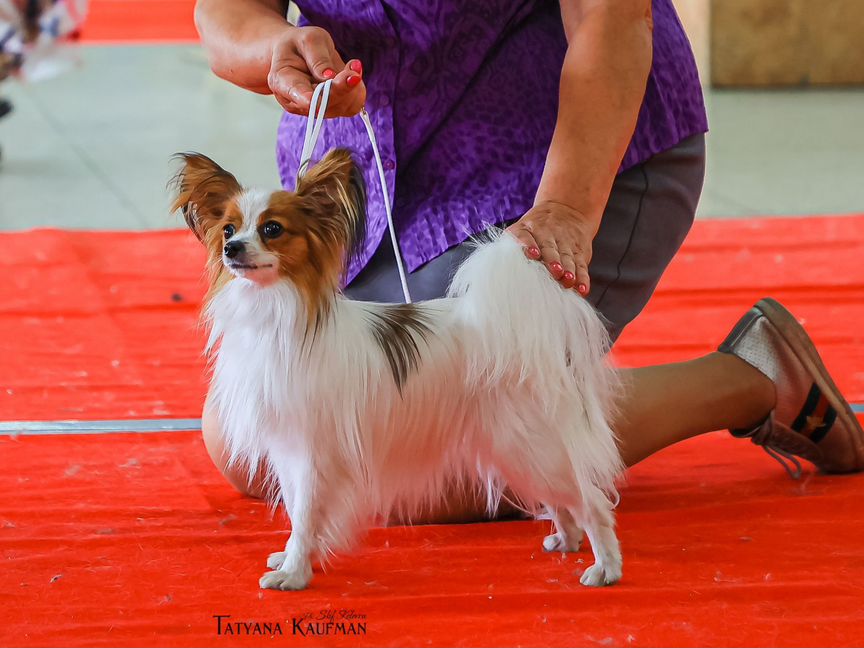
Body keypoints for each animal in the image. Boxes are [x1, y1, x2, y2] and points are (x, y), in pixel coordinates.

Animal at [172, 148, 624, 592]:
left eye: (272, 229)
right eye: (228, 230)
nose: (232, 249)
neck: (273, 312)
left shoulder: (317, 452)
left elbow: (304, 516)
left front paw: (294, 573)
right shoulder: (288, 447)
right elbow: (299, 510)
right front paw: (291, 559)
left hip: (530, 445)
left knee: (592, 502)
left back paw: (605, 568)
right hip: (518, 453)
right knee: (564, 501)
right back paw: (565, 540)